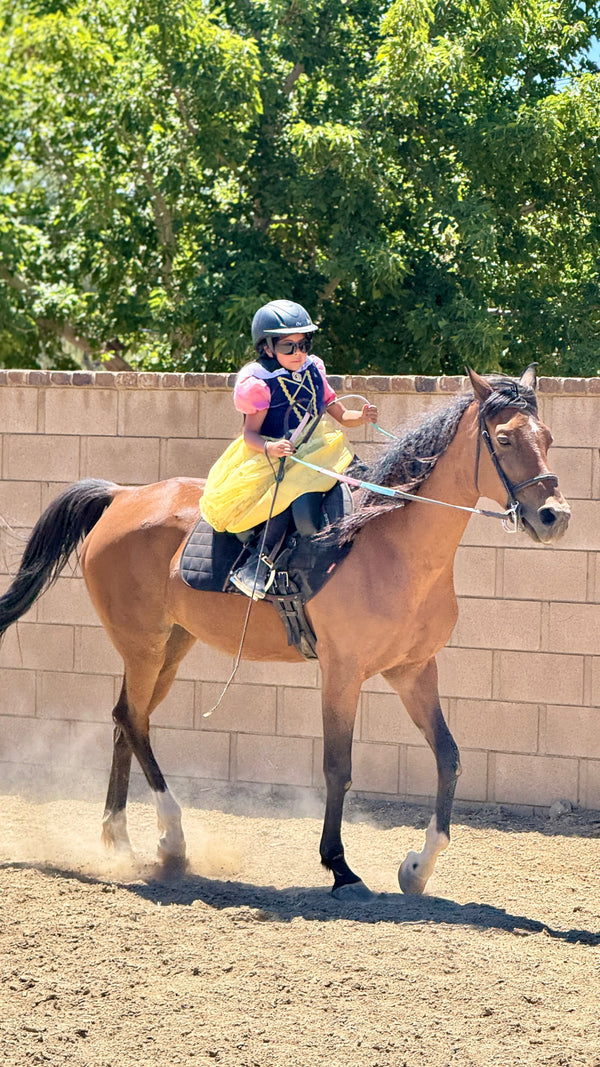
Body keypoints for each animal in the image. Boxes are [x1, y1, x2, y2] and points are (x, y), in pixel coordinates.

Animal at [0, 366, 570, 899]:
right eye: (503, 439)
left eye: (546, 438)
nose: (554, 517)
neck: (389, 542)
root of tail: (121, 497)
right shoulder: (342, 674)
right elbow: (338, 766)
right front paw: (340, 867)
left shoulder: (413, 671)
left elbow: (449, 759)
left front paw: (418, 867)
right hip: (143, 646)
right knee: (133, 722)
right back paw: (172, 837)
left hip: (169, 648)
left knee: (125, 720)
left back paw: (119, 841)